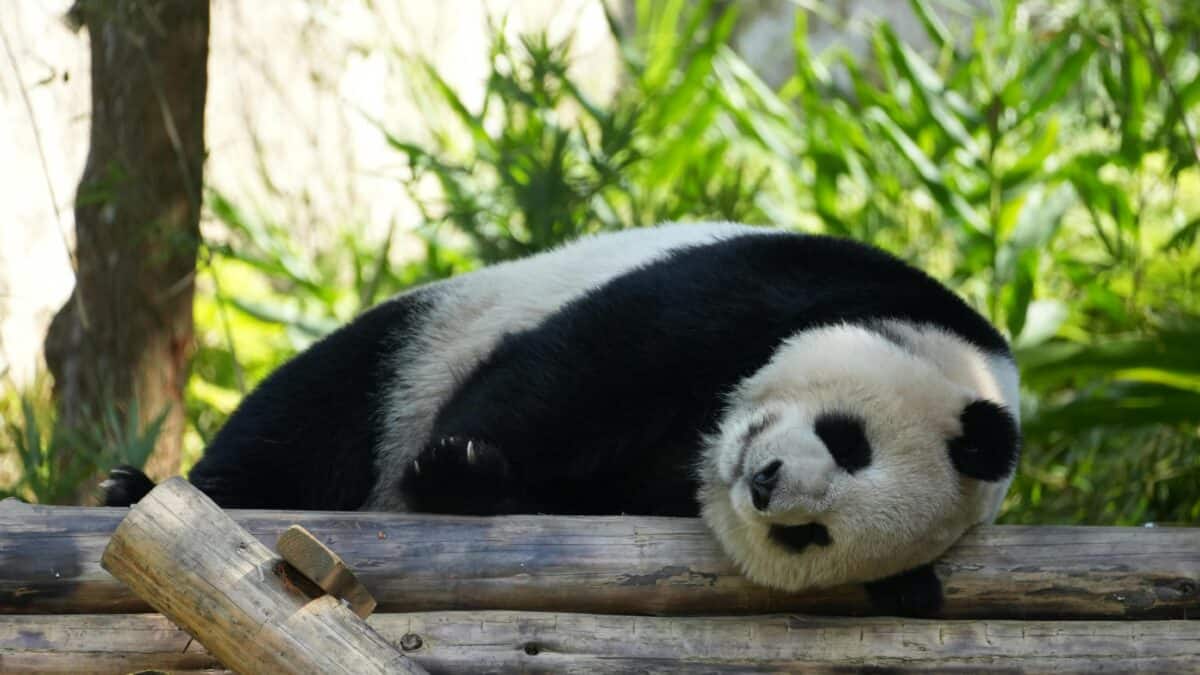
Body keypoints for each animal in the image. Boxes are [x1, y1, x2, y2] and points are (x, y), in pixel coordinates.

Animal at [103, 222, 1020, 610]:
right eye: (848, 439)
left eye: (810, 537)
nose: (765, 484)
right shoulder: (788, 283)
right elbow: (593, 363)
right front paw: (454, 470)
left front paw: (469, 480)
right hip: (427, 334)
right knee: (323, 407)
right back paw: (138, 487)